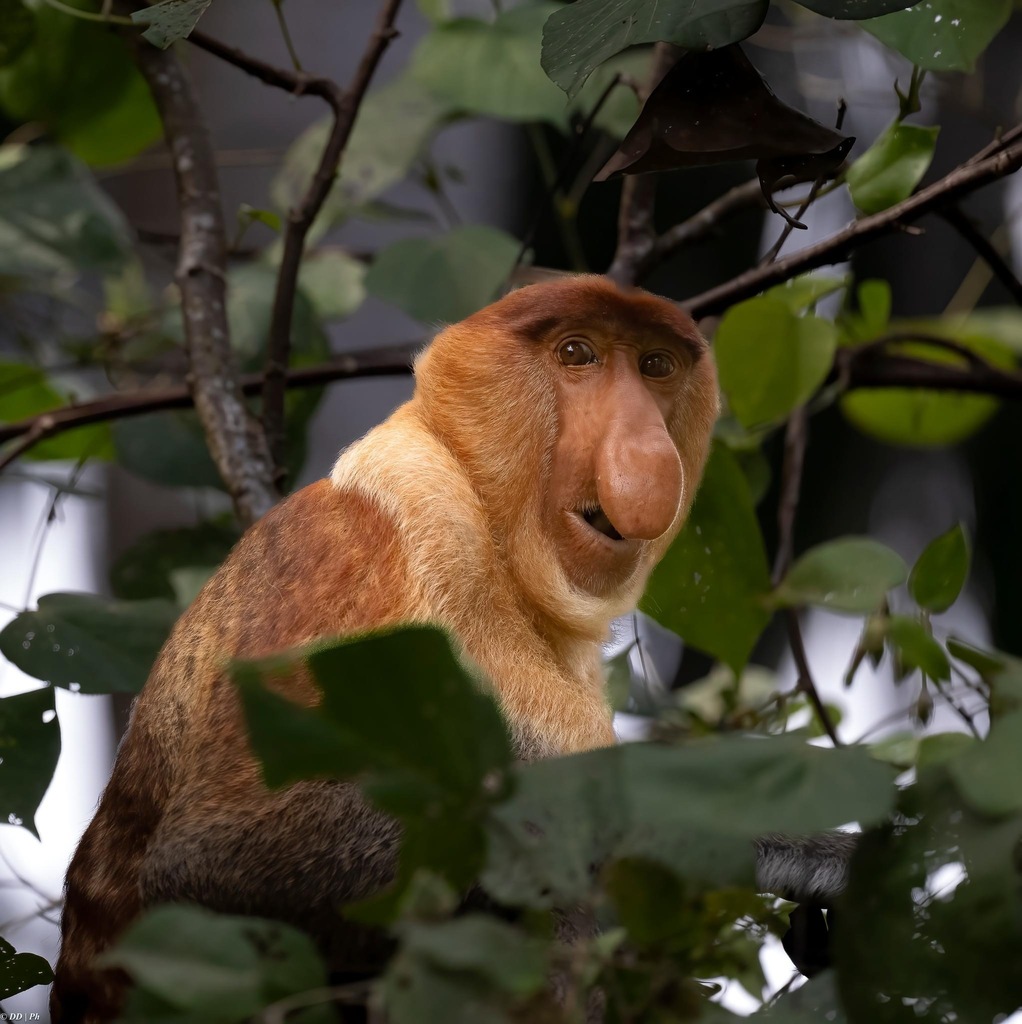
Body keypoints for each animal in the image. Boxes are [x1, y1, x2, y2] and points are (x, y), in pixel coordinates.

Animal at [50, 275, 721, 1023]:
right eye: (577, 353)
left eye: (656, 366)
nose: (646, 447)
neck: (493, 527)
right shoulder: (384, 533)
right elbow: (209, 862)